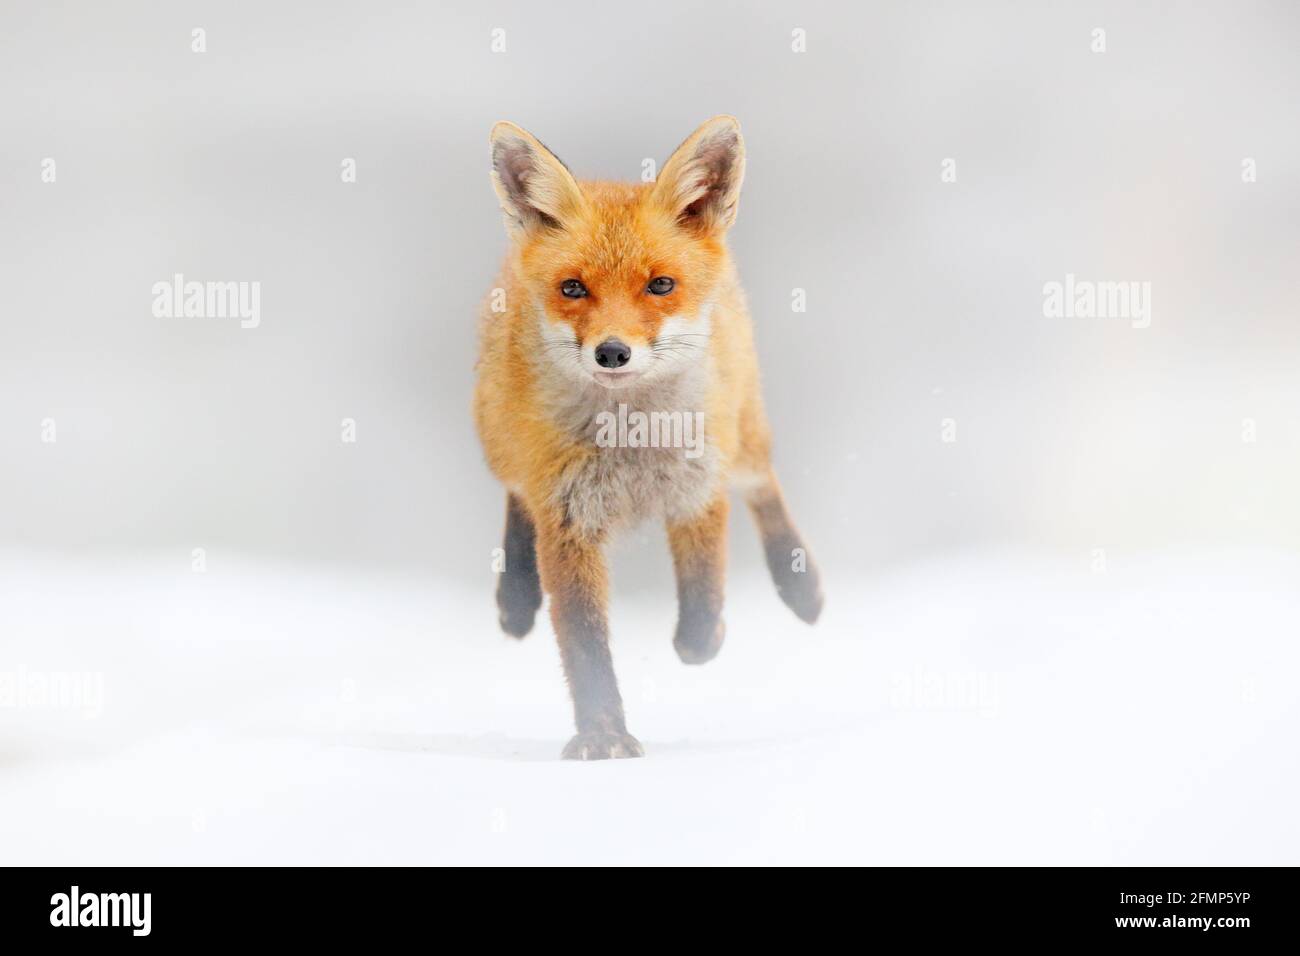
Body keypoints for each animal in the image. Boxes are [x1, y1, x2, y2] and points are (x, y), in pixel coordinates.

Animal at [474, 116, 823, 760]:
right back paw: (515, 601)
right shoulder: (567, 518)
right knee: (514, 496)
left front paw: (704, 639)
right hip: (496, 437)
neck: (631, 441)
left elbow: (704, 597)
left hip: (744, 433)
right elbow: (585, 646)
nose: (612, 352)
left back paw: (802, 589)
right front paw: (602, 734)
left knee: (763, 485)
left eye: (660, 285)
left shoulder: (698, 490)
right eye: (573, 288)